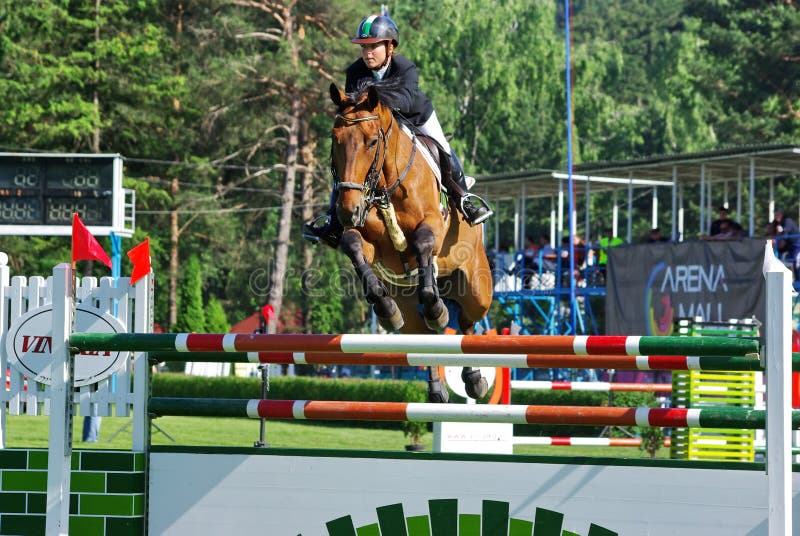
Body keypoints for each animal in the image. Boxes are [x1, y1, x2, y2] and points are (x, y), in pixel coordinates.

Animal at [328, 81, 493, 403]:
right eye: (335, 140)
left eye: (371, 142)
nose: (347, 211)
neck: (384, 186)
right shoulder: (369, 243)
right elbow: (353, 246)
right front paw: (385, 308)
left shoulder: (432, 225)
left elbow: (422, 244)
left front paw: (435, 309)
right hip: (408, 304)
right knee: (426, 337)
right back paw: (437, 391)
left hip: (477, 288)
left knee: (468, 321)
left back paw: (474, 378)